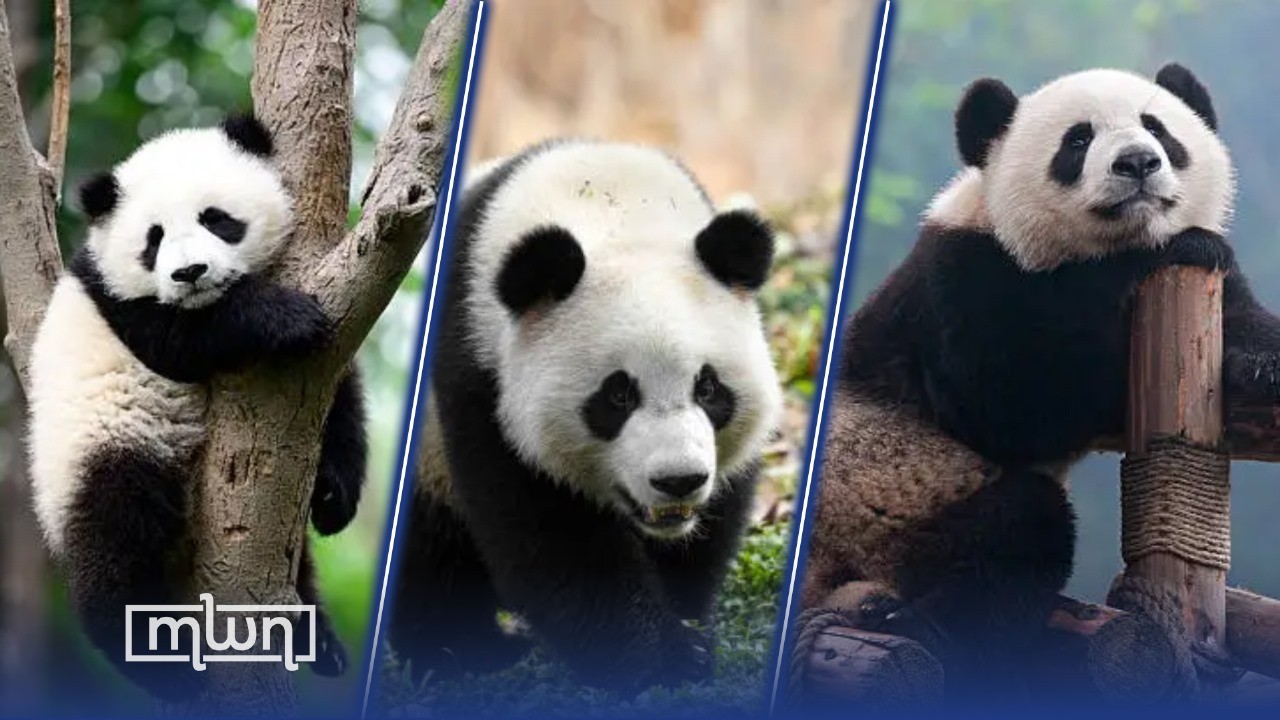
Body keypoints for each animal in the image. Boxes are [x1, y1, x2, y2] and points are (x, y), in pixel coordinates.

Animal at [26, 115, 368, 701]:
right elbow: (185, 339)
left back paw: (319, 642)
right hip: (103, 445)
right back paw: (166, 665)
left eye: (217, 219)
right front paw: (284, 317)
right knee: (117, 545)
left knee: (295, 565)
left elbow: (340, 399)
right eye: (153, 239)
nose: (190, 273)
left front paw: (331, 494)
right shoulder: (122, 306)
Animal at [390, 139, 783, 692]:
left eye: (708, 388)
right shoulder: (479, 372)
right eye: (617, 397)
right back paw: (463, 652)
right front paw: (660, 659)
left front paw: (687, 627)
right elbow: (554, 535)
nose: (678, 481)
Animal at [800, 63, 1280, 698]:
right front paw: (1160, 256)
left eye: (1158, 127)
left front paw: (1261, 368)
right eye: (1077, 141)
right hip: (888, 520)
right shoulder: (962, 278)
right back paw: (912, 622)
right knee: (1021, 527)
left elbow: (1244, 323)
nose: (1137, 162)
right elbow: (1012, 403)